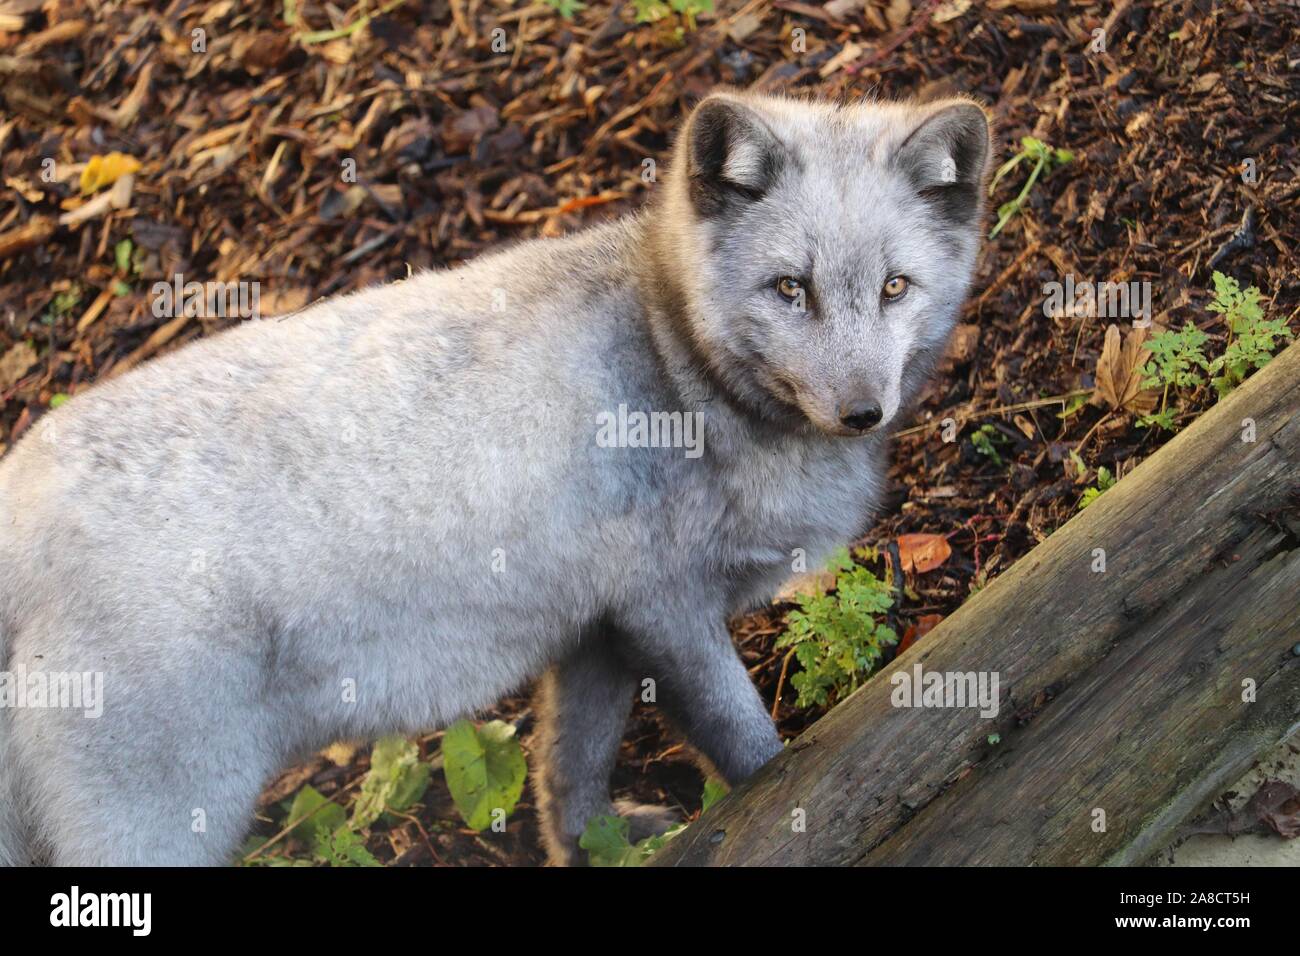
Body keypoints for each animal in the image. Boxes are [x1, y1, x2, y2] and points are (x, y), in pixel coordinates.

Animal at [0, 90, 991, 866]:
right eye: (791, 289)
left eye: (895, 287)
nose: (862, 412)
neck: (675, 367)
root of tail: (22, 494)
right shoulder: (667, 609)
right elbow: (758, 755)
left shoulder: (599, 631)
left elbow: (568, 775)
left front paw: (589, 851)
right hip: (162, 821)